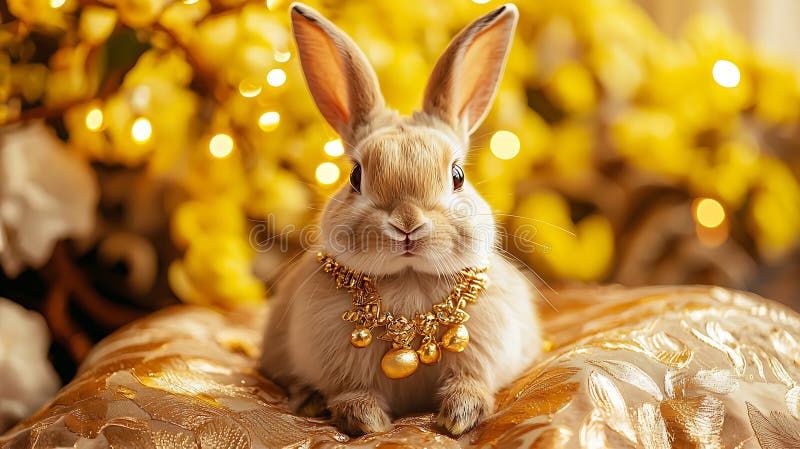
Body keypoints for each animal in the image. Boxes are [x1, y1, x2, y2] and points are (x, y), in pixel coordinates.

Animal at [260, 2, 541, 437]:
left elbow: (472, 381)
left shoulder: (484, 355)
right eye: (355, 176)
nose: (407, 224)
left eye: (457, 176)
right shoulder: (339, 365)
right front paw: (367, 420)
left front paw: (459, 417)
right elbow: (352, 391)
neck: (410, 280)